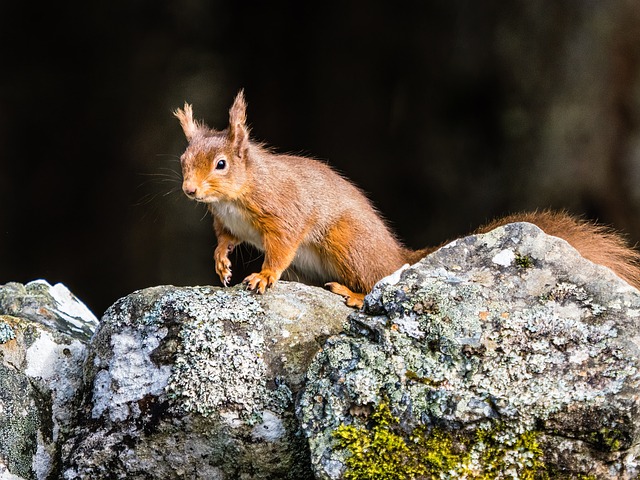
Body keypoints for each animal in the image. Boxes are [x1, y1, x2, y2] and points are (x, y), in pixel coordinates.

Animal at [175, 90, 640, 308]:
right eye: (182, 160)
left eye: (220, 164)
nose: (189, 191)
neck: (237, 194)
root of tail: (398, 256)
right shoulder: (228, 221)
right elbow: (225, 238)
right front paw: (221, 261)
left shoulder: (284, 211)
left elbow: (282, 246)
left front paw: (264, 277)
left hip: (347, 243)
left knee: (376, 279)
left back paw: (354, 295)